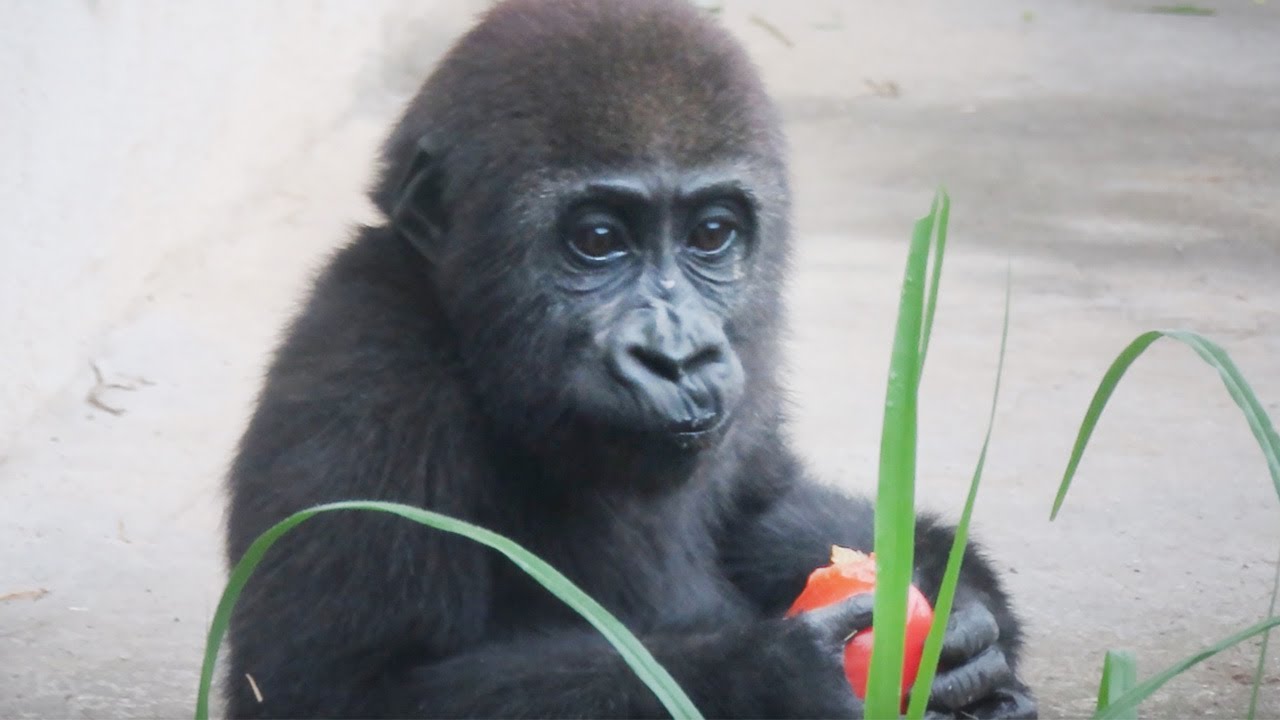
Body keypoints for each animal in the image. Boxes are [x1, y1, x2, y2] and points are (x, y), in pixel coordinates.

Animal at [222, 1, 1037, 718]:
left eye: (711, 233)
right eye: (598, 240)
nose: (675, 357)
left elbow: (766, 503)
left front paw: (954, 593)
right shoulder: (368, 372)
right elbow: (342, 693)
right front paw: (774, 675)